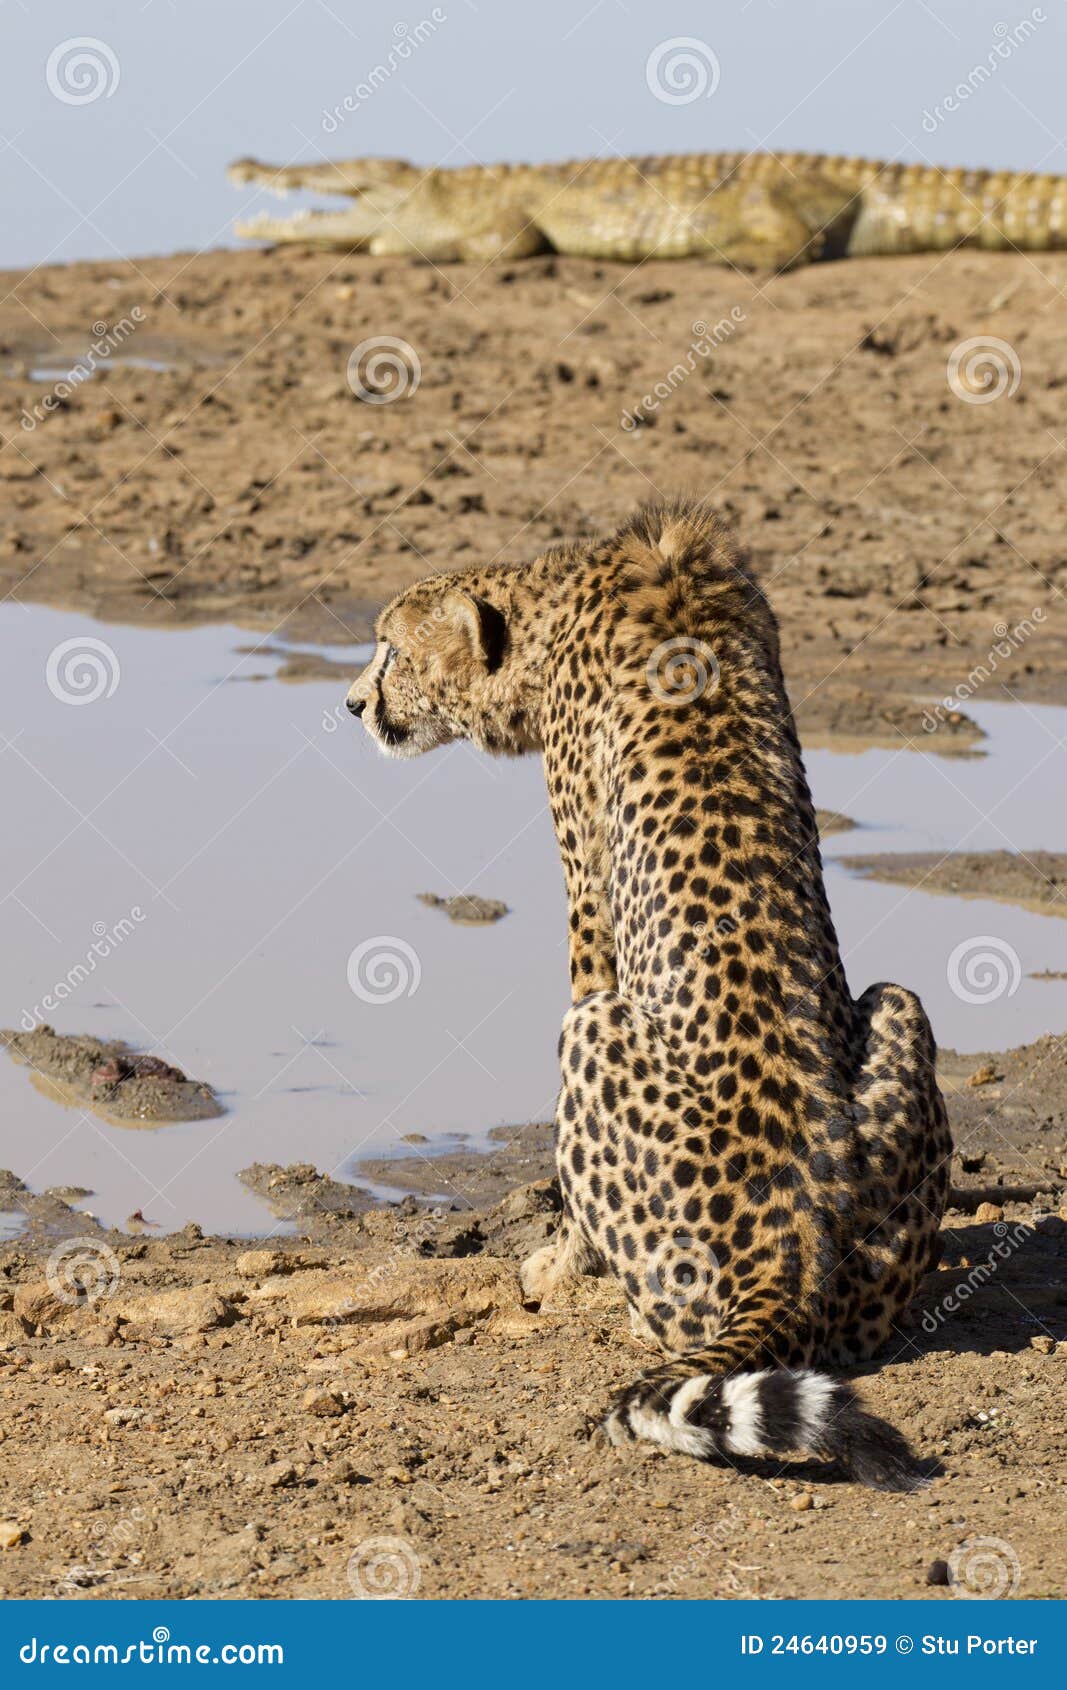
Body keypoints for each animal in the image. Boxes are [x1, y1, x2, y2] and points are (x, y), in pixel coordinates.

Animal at [346, 499, 951, 1489]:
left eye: (391, 649)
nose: (353, 703)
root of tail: (795, 1250)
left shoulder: (589, 902)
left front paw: (557, 1265)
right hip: (899, 1009)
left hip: (591, 1032)